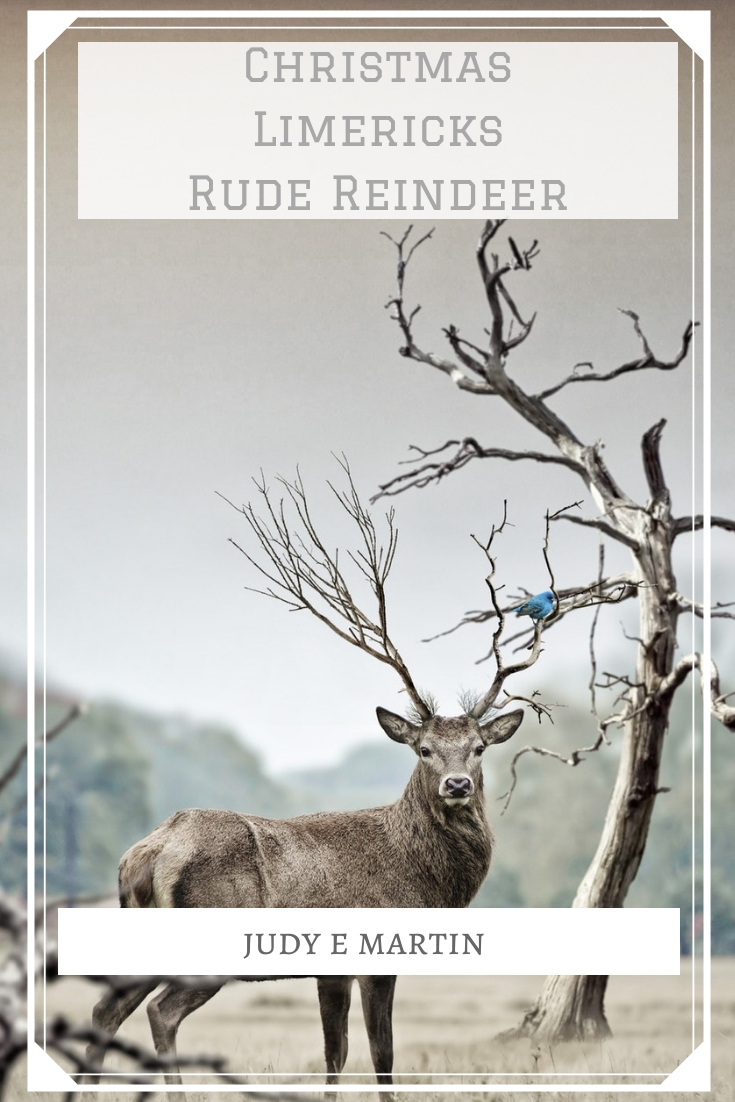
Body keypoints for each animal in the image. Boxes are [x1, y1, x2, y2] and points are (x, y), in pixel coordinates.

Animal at [85, 463, 546, 1090]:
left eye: (477, 749)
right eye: (424, 749)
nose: (457, 785)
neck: (427, 882)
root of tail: (147, 852)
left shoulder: (332, 968)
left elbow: (336, 1054)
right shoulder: (375, 946)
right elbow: (381, 1055)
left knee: (104, 1010)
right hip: (210, 937)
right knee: (160, 1011)